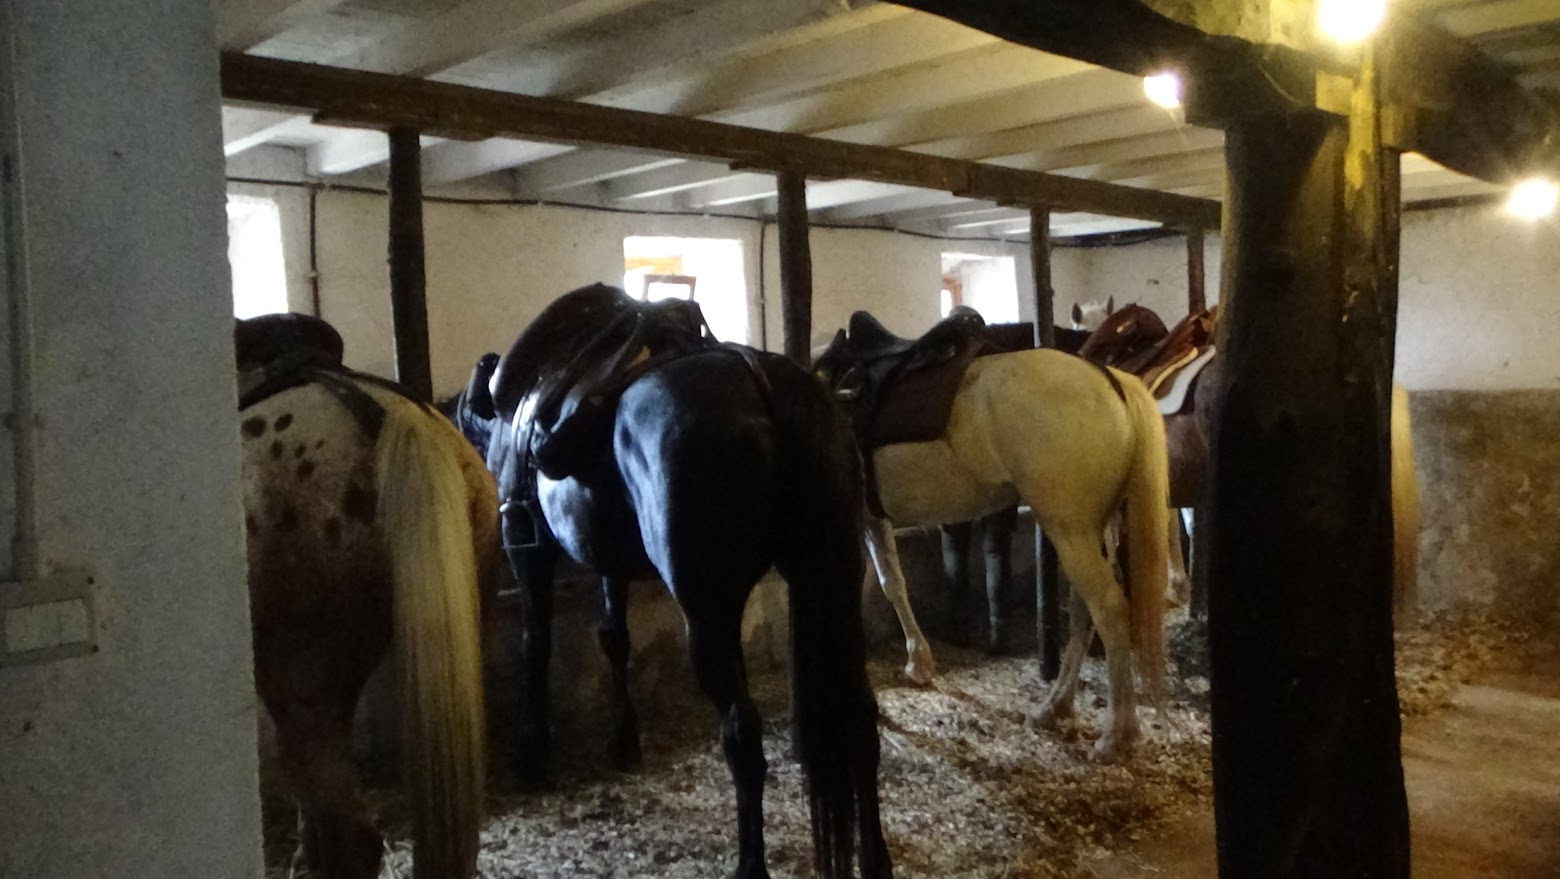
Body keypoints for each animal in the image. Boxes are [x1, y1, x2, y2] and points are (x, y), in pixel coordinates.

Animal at [453, 284, 891, 879]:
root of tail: (764, 380)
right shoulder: (610, 561)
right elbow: (614, 639)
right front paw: (623, 740)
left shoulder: (530, 551)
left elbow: (535, 645)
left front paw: (531, 753)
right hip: (835, 582)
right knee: (861, 721)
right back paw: (876, 858)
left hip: (708, 614)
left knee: (742, 734)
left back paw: (750, 864)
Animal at [817, 310, 1170, 762]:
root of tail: (1109, 379)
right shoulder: (872, 520)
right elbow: (893, 584)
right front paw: (919, 664)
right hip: (1089, 528)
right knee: (1085, 611)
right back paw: (1054, 706)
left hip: (1069, 530)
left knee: (1108, 609)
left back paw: (1116, 735)